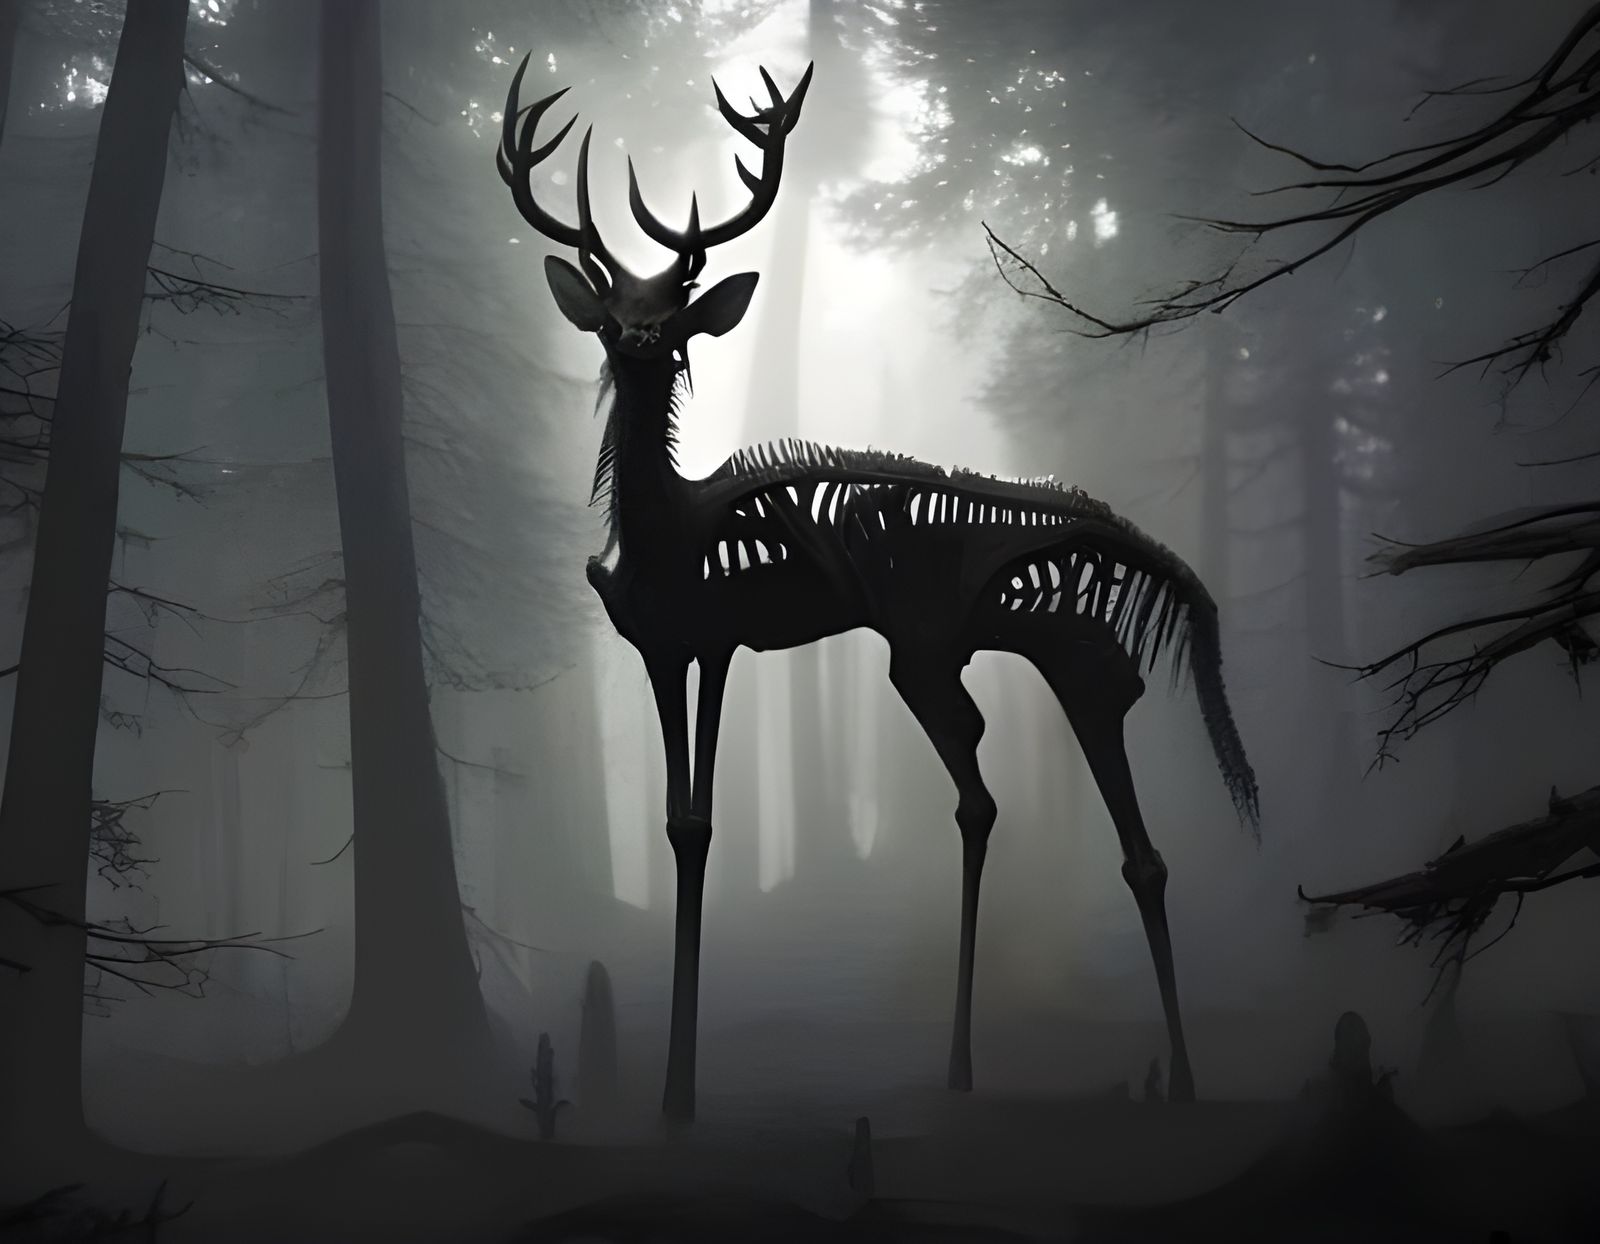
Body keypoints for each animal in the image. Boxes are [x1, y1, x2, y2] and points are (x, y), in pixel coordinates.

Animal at [496, 57, 1260, 1121]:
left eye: (677, 310)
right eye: (611, 318)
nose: (643, 345)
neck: (661, 536)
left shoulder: (717, 637)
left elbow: (697, 823)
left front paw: (680, 1096)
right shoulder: (658, 646)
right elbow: (677, 818)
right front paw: (674, 1092)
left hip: (929, 643)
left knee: (984, 794)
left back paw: (981, 1069)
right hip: (1065, 646)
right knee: (1119, 823)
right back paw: (1154, 1079)